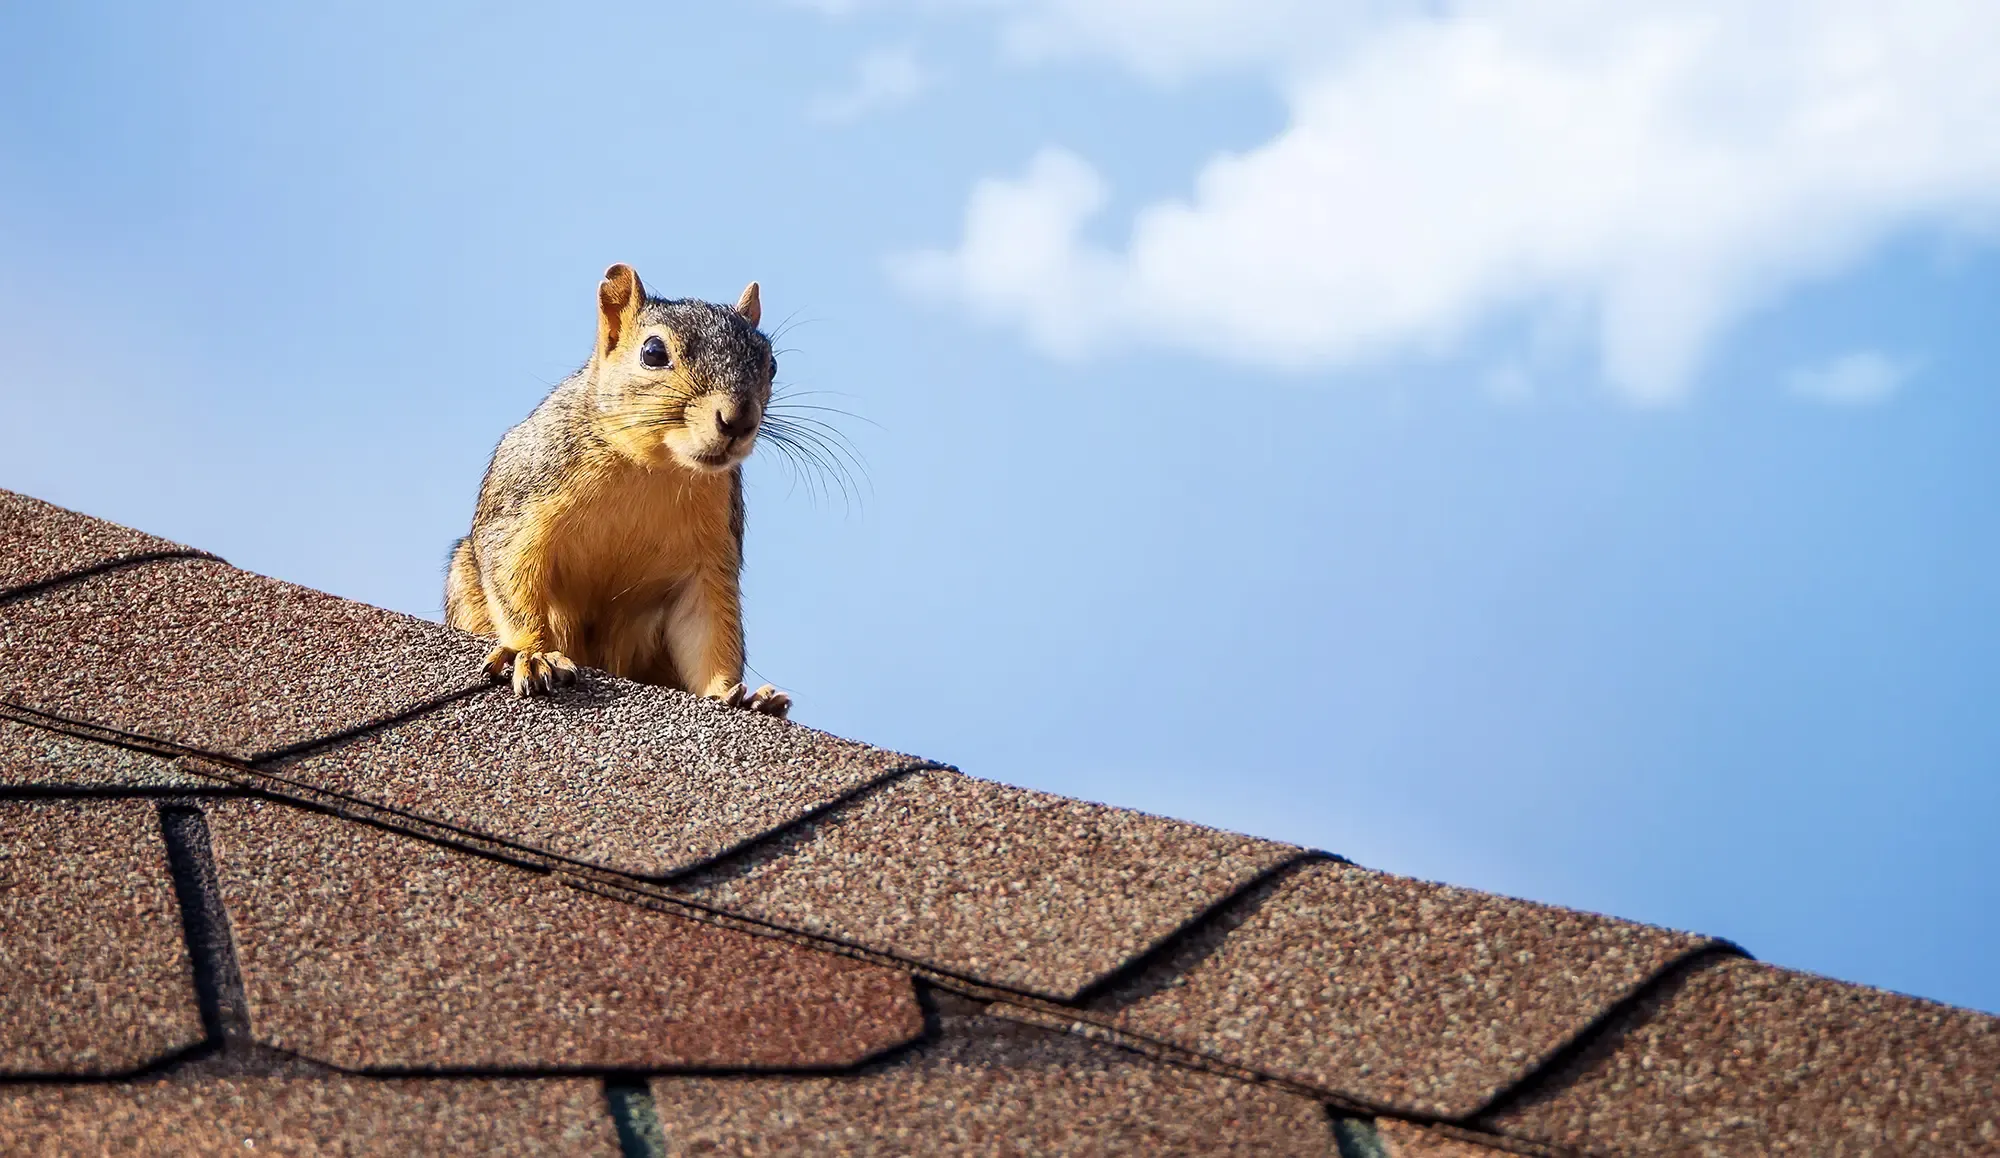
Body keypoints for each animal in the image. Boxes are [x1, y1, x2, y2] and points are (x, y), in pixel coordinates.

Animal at [444, 263, 790, 717]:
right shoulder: (523, 506)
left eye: (772, 365)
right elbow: (514, 578)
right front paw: (533, 653)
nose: (739, 421)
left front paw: (732, 693)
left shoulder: (710, 556)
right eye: (653, 353)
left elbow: (708, 628)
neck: (651, 467)